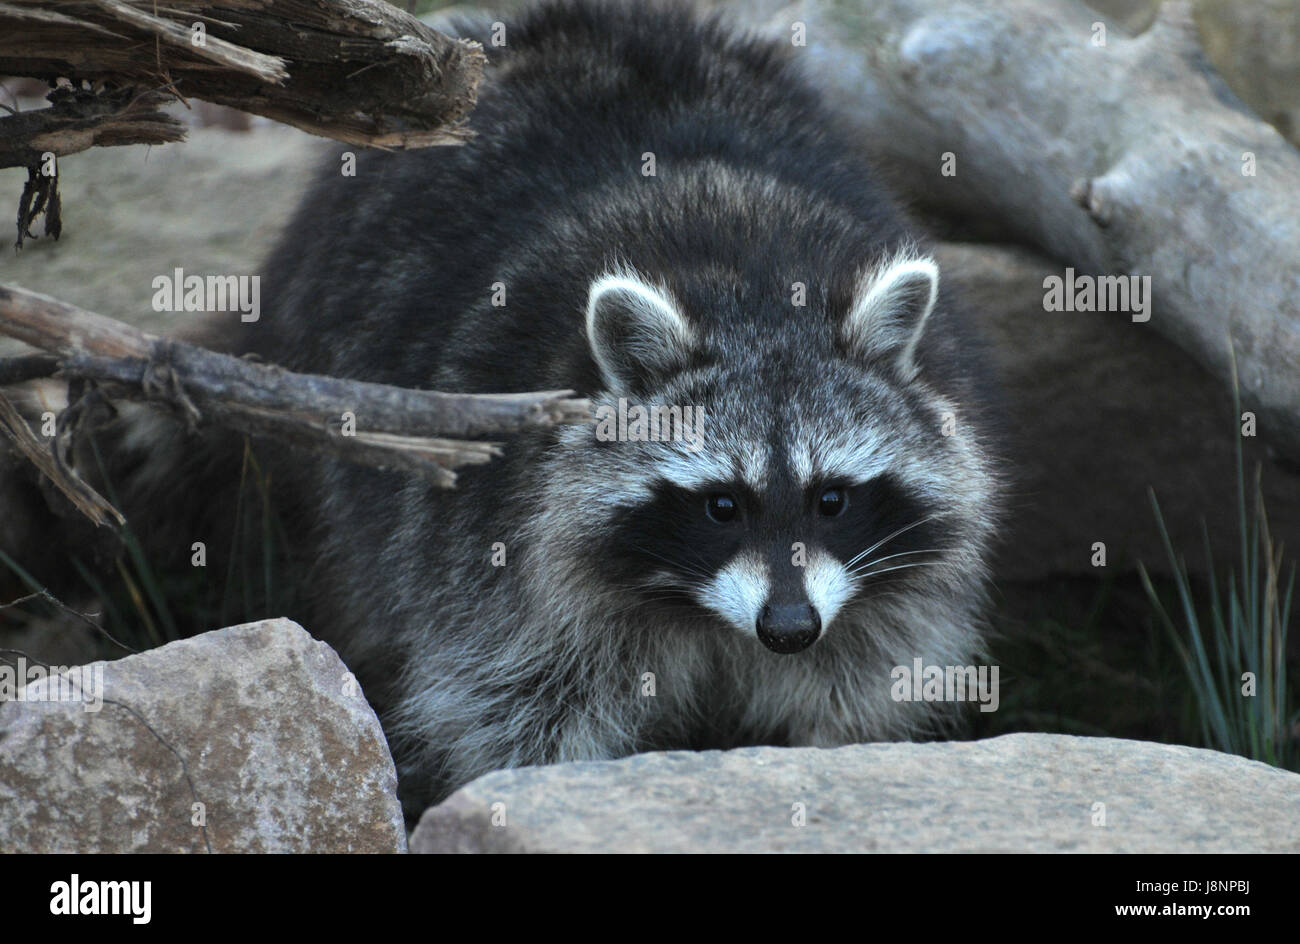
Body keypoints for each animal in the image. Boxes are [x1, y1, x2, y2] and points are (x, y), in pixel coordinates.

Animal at [98, 0, 1002, 815]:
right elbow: (519, 708)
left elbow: (850, 691)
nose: (787, 628)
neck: (749, 294)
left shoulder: (875, 601)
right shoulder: (492, 553)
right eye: (721, 505)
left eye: (833, 498)